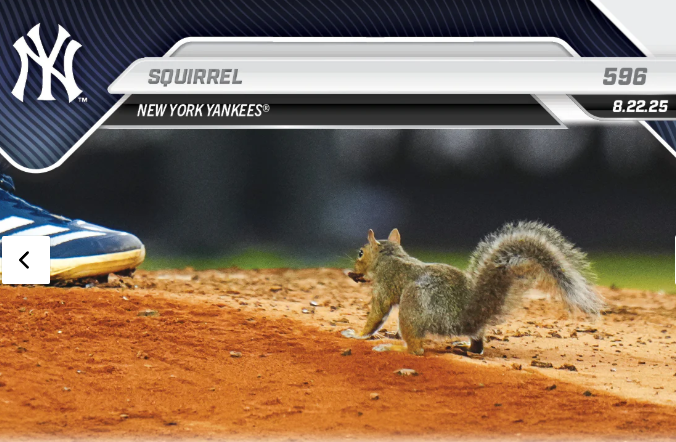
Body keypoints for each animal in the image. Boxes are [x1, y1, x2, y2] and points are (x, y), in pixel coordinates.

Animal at [342, 221, 603, 355]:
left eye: (360, 253)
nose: (353, 270)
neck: (391, 257)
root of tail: (467, 314)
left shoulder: (384, 288)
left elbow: (376, 316)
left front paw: (357, 334)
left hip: (413, 303)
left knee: (417, 349)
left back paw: (395, 347)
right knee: (477, 344)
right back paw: (468, 347)